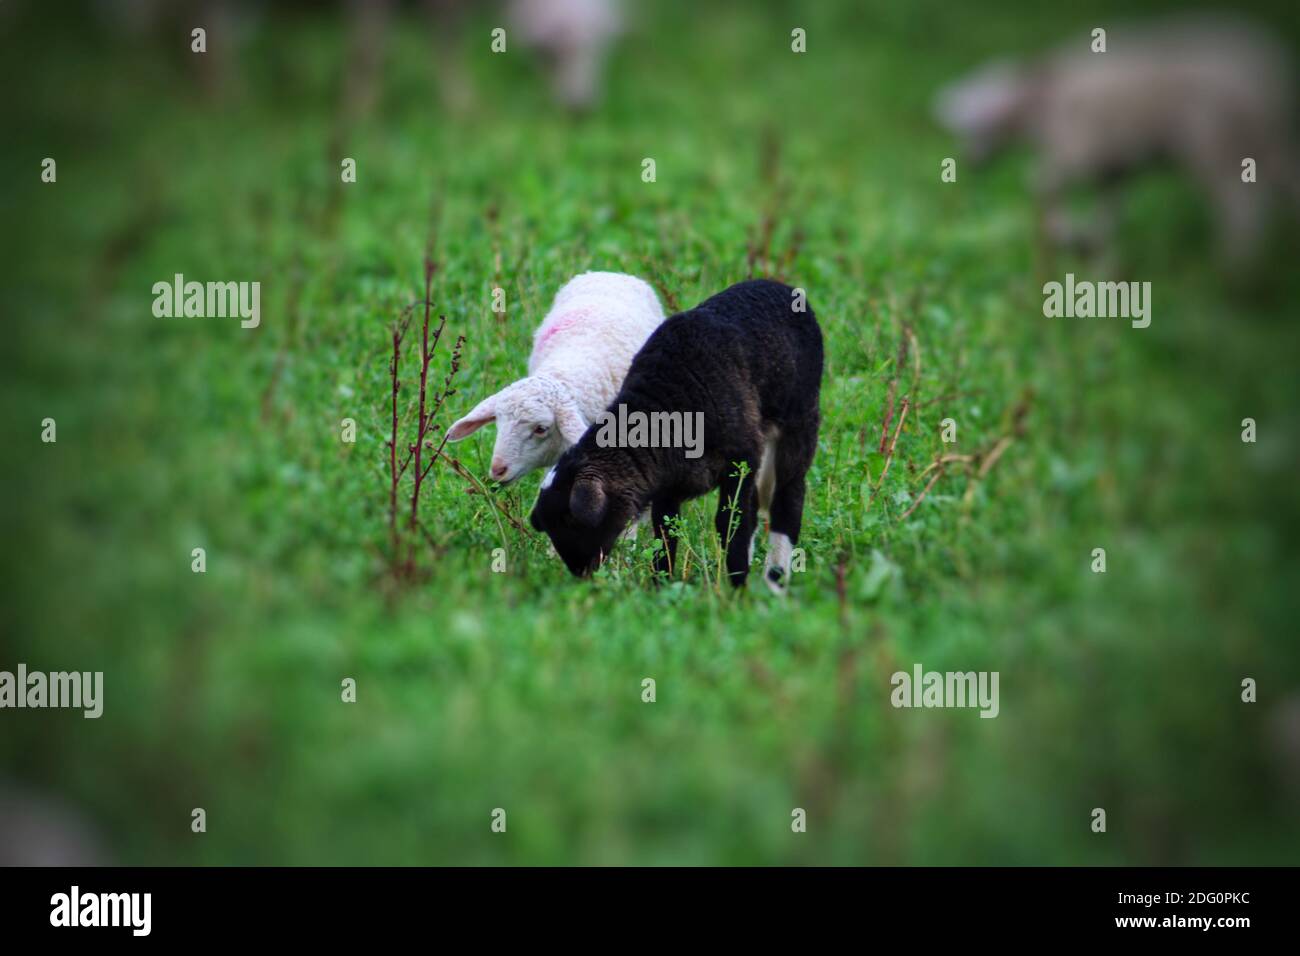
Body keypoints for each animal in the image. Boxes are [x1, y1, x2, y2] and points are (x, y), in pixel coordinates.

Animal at [530, 279, 824, 593]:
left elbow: (731, 524)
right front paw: (662, 587)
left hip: (799, 421)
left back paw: (775, 582)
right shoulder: (665, 483)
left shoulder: (740, 460)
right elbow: (665, 534)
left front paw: (737, 590)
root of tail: (779, 285)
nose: (579, 573)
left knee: (787, 498)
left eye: (570, 520)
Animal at [934, 15, 1299, 263]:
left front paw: (1064, 234)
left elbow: (1040, 182)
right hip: (1252, 145)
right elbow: (1109, 211)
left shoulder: (1080, 146)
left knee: (1243, 206)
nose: (969, 162)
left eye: (978, 122)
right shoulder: (1115, 165)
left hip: (1215, 146)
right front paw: (1084, 243)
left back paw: (1235, 274)